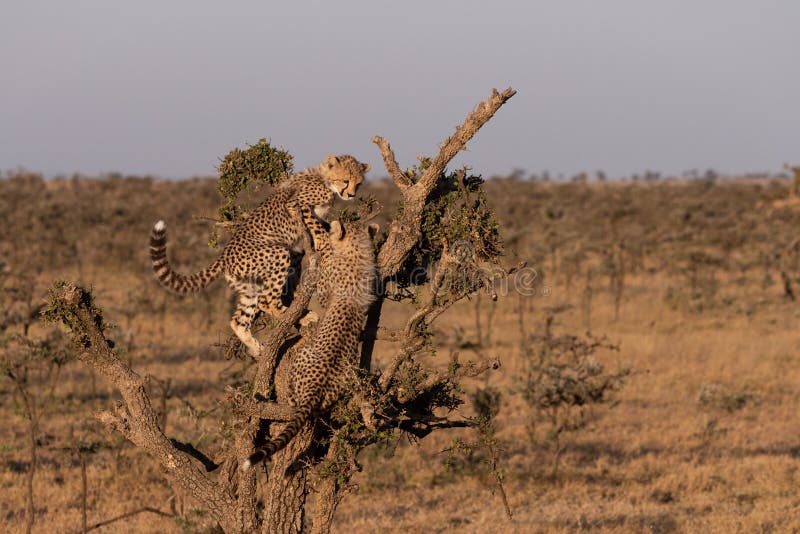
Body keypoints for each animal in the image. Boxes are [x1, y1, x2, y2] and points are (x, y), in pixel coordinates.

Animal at [149, 154, 370, 356]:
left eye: (358, 183)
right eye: (346, 180)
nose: (351, 195)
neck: (325, 180)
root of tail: (224, 255)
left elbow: (325, 224)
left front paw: (336, 231)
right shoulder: (295, 205)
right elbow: (315, 225)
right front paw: (325, 242)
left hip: (250, 284)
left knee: (239, 319)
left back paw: (257, 347)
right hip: (278, 253)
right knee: (268, 300)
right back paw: (301, 316)